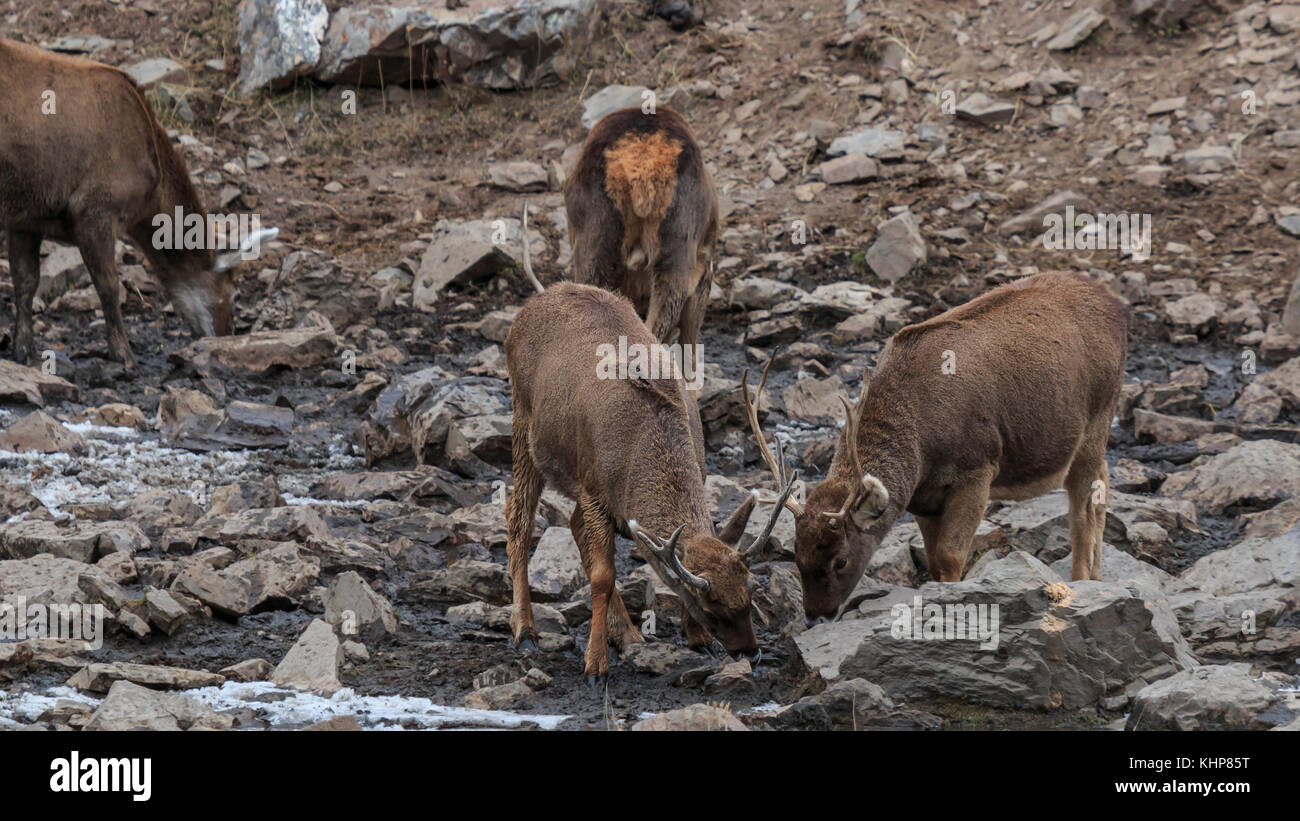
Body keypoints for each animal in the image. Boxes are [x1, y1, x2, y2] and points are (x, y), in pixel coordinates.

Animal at [0, 39, 276, 367]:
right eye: (236, 293)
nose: (226, 336)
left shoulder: (27, 215)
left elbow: (26, 281)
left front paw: (23, 350)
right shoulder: (93, 207)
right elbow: (108, 284)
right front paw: (123, 355)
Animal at [507, 239, 791, 682]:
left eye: (751, 593)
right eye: (712, 608)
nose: (750, 652)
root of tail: (534, 302)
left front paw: (696, 639)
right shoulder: (593, 486)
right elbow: (603, 576)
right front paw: (595, 665)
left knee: (569, 524)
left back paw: (627, 635)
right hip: (523, 418)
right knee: (519, 518)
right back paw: (525, 629)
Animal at [743, 272, 1130, 623]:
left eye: (840, 559)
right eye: (796, 555)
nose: (815, 617)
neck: (921, 452)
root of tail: (1117, 306)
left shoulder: (979, 468)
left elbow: (950, 557)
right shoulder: (923, 499)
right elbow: (932, 562)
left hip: (1098, 416)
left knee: (1084, 508)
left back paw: (1082, 583)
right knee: (1102, 487)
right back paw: (1097, 578)